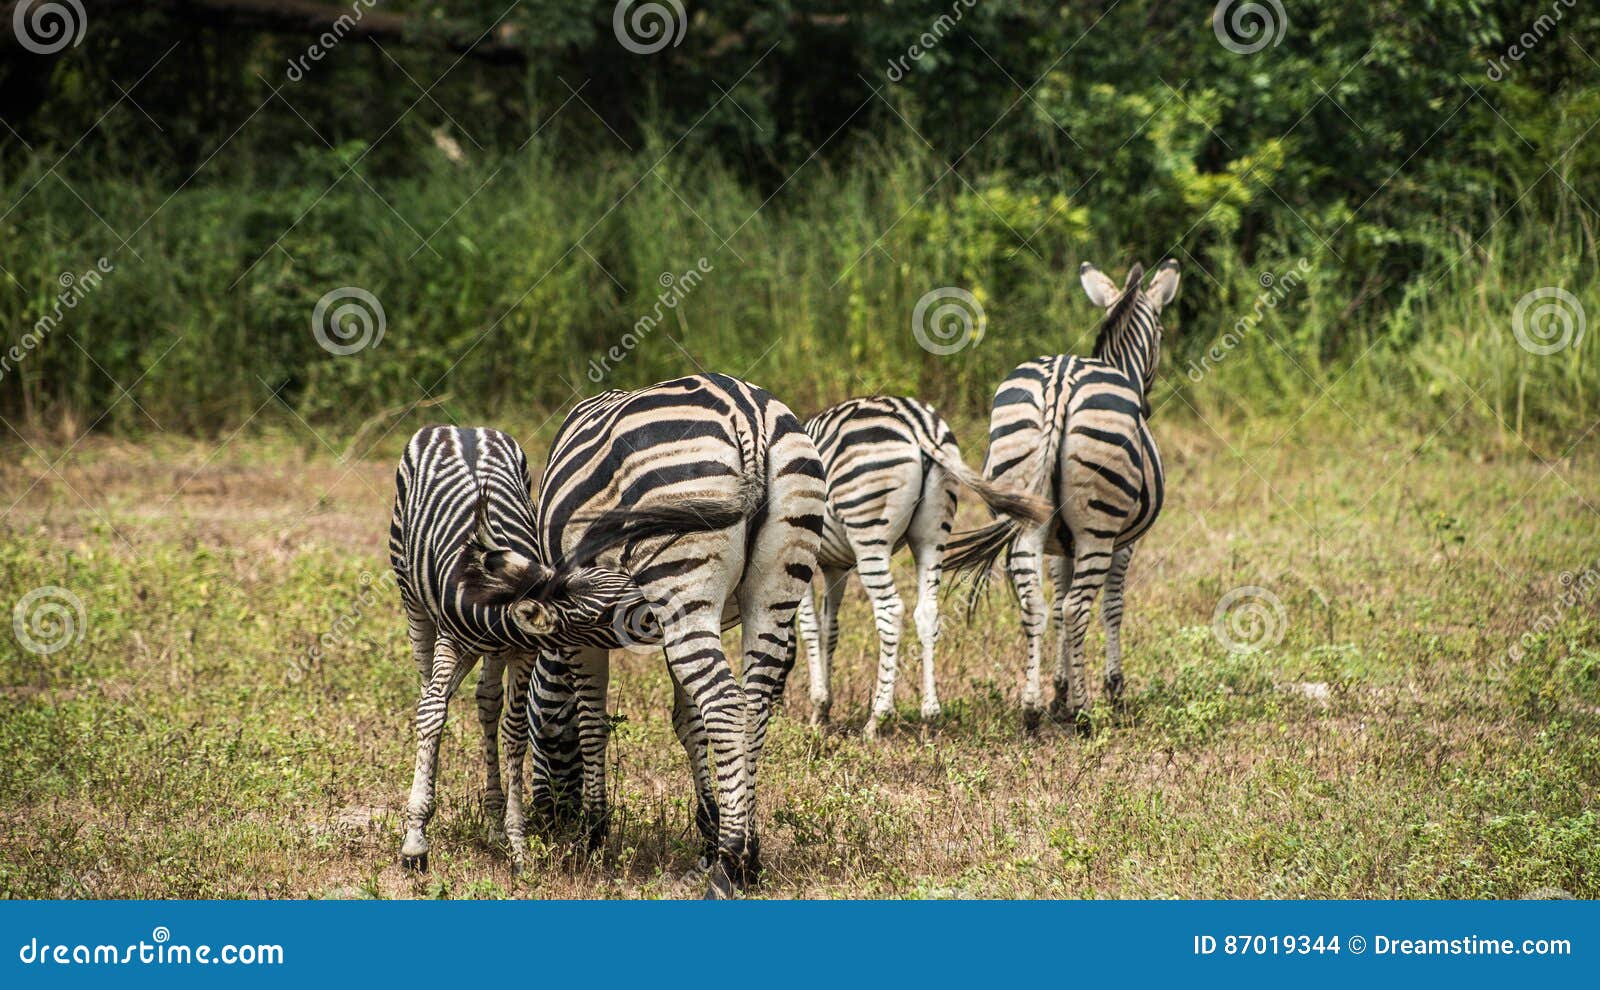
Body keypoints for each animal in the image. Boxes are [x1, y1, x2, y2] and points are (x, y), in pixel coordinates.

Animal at [389, 425, 741, 873]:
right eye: (607, 610)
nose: (674, 600)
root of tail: (459, 428)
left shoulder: (521, 652)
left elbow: (514, 731)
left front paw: (516, 843)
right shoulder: (452, 641)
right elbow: (432, 715)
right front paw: (415, 840)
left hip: (491, 652)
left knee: (487, 702)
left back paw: (493, 820)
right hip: (414, 605)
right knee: (432, 689)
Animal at [461, 373, 825, 898]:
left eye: (542, 733)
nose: (551, 823)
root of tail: (747, 415)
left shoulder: (581, 630)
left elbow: (592, 723)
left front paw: (592, 835)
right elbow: (688, 722)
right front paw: (708, 828)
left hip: (681, 573)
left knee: (726, 705)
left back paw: (729, 866)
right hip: (771, 586)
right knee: (752, 710)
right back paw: (749, 855)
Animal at [794, 395, 1051, 737]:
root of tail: (919, 425)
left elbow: (810, 625)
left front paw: (818, 705)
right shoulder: (836, 566)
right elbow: (829, 627)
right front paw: (823, 710)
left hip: (868, 528)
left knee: (890, 610)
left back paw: (877, 718)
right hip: (932, 534)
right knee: (928, 613)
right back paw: (930, 715)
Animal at [947, 260, 1179, 732]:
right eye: (1162, 332)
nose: (1146, 408)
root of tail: (1060, 383)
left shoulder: (1057, 545)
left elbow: (1053, 607)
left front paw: (1057, 691)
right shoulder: (1124, 544)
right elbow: (1110, 607)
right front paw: (1110, 690)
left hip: (1027, 518)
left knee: (1035, 604)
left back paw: (1032, 710)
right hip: (1098, 528)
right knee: (1077, 608)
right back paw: (1086, 713)